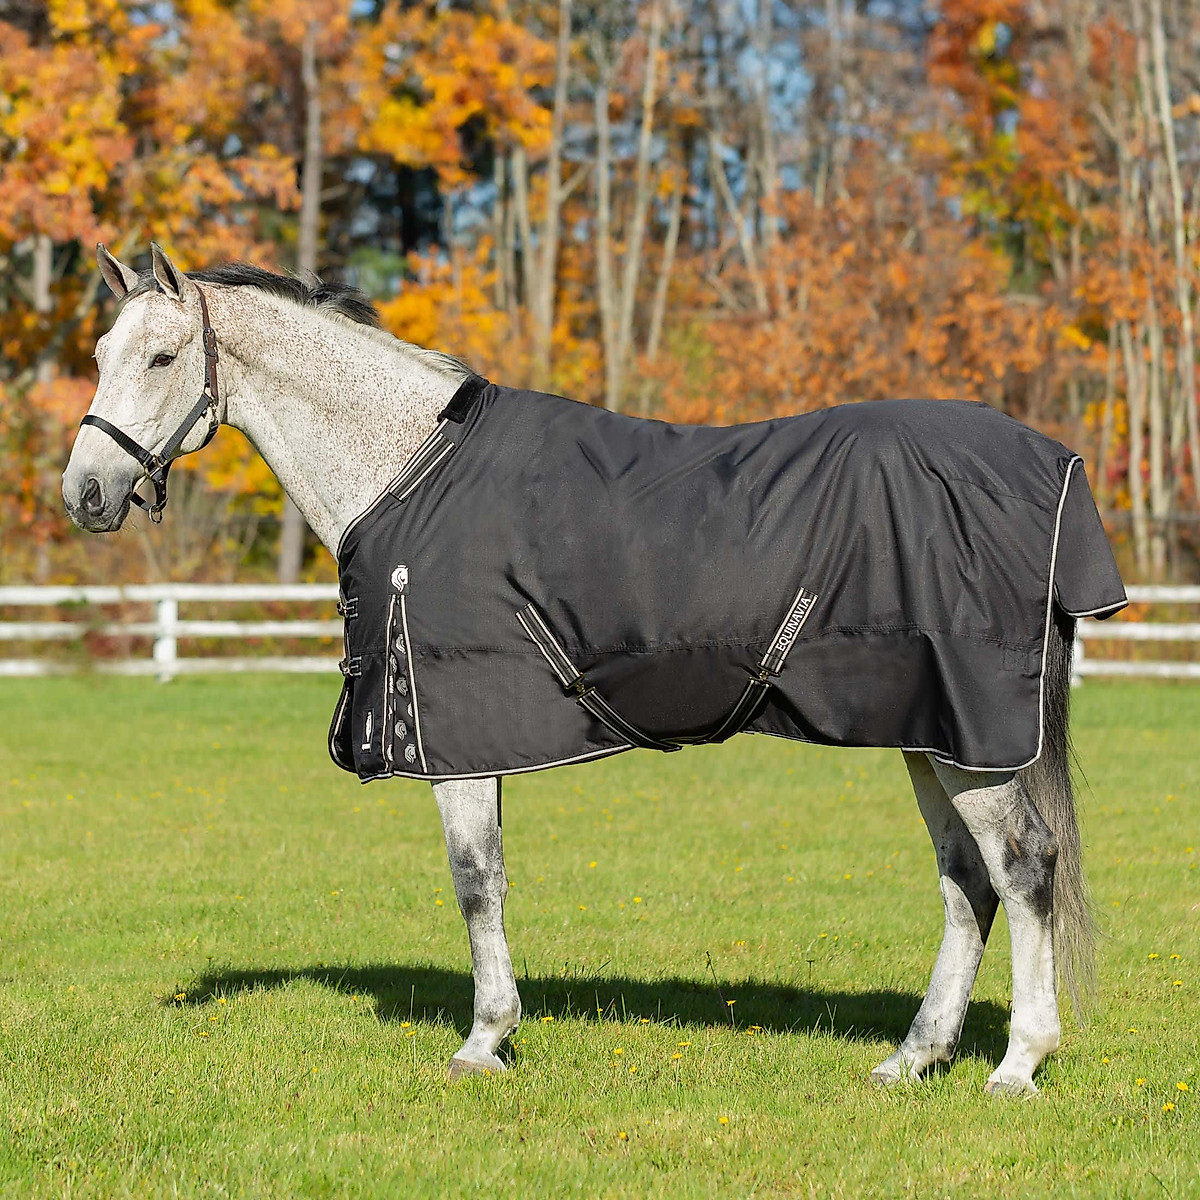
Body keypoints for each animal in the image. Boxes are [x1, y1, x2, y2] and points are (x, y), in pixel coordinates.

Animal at [63, 242, 1123, 1096]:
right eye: (103, 356)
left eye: (162, 358)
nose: (85, 494)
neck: (406, 467)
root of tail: (1053, 464)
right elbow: (489, 877)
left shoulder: (456, 730)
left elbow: (474, 880)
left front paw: (484, 1042)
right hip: (930, 731)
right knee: (966, 882)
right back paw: (913, 1058)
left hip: (973, 737)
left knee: (1022, 867)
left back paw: (1018, 1063)